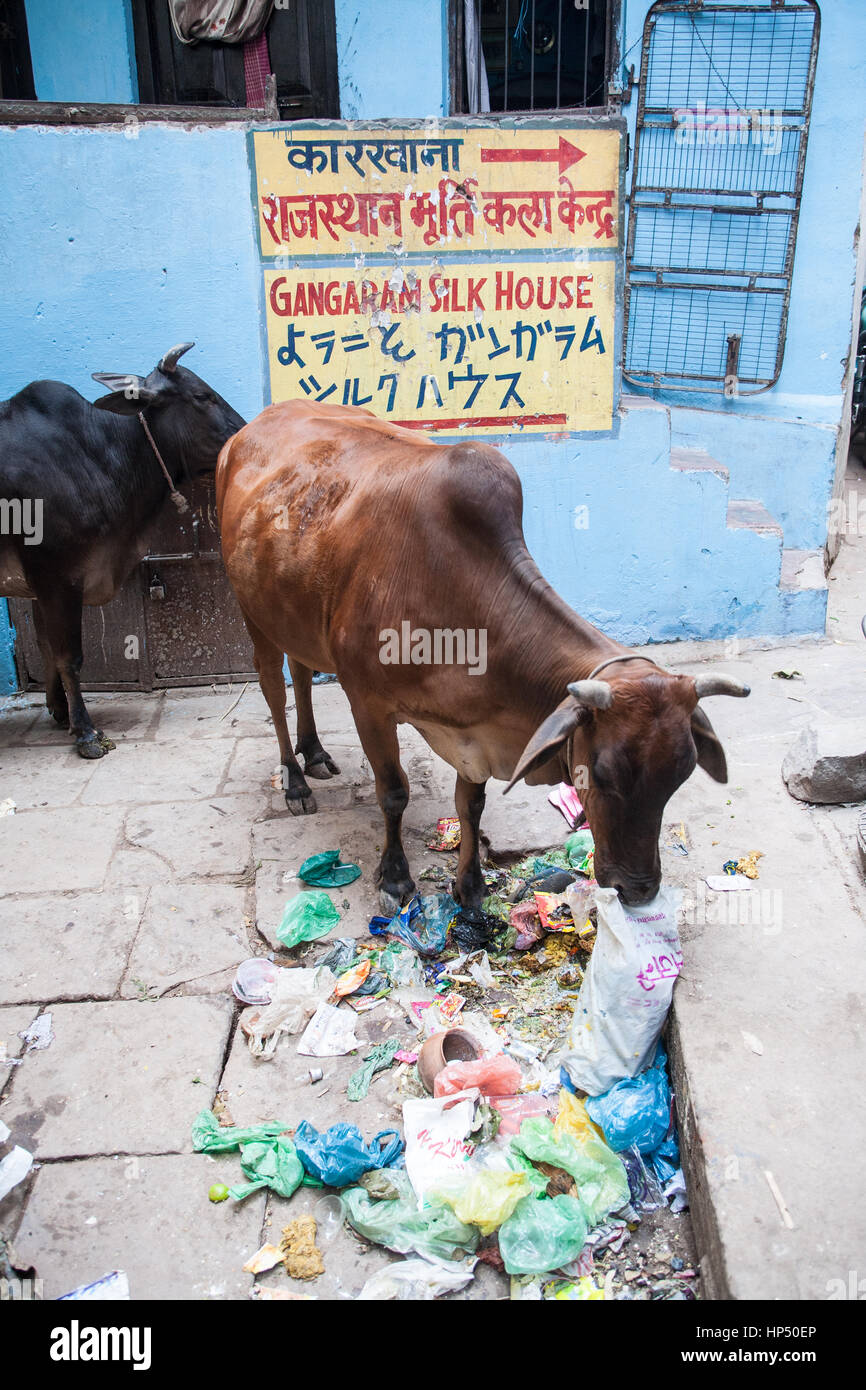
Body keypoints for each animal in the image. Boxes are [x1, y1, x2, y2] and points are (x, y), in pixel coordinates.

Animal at [0, 344, 245, 757]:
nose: (246, 434)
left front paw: (60, 711)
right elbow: (68, 655)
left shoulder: (40, 584)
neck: (96, 454)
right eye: (202, 396)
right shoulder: (57, 576)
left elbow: (45, 646)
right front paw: (85, 732)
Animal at [216, 400, 749, 910]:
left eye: (682, 774)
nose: (639, 890)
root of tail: (249, 430)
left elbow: (470, 805)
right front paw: (395, 879)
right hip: (251, 612)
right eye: (599, 772)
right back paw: (295, 780)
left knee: (302, 673)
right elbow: (393, 793)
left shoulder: (473, 728)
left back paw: (316, 753)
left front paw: (469, 886)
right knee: (274, 689)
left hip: (294, 614)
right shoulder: (368, 702)